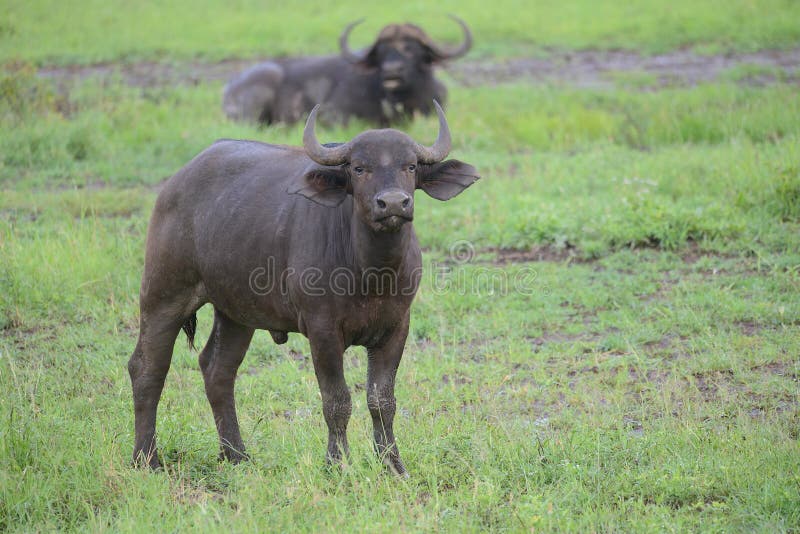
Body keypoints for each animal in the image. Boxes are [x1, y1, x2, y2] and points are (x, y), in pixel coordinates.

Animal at [128, 101, 480, 475]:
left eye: (410, 166)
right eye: (359, 168)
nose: (394, 203)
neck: (371, 274)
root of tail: (175, 184)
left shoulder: (396, 327)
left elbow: (382, 401)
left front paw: (392, 464)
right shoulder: (322, 330)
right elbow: (337, 400)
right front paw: (338, 463)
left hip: (236, 312)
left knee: (217, 369)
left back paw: (236, 454)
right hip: (163, 293)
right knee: (147, 368)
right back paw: (146, 458)